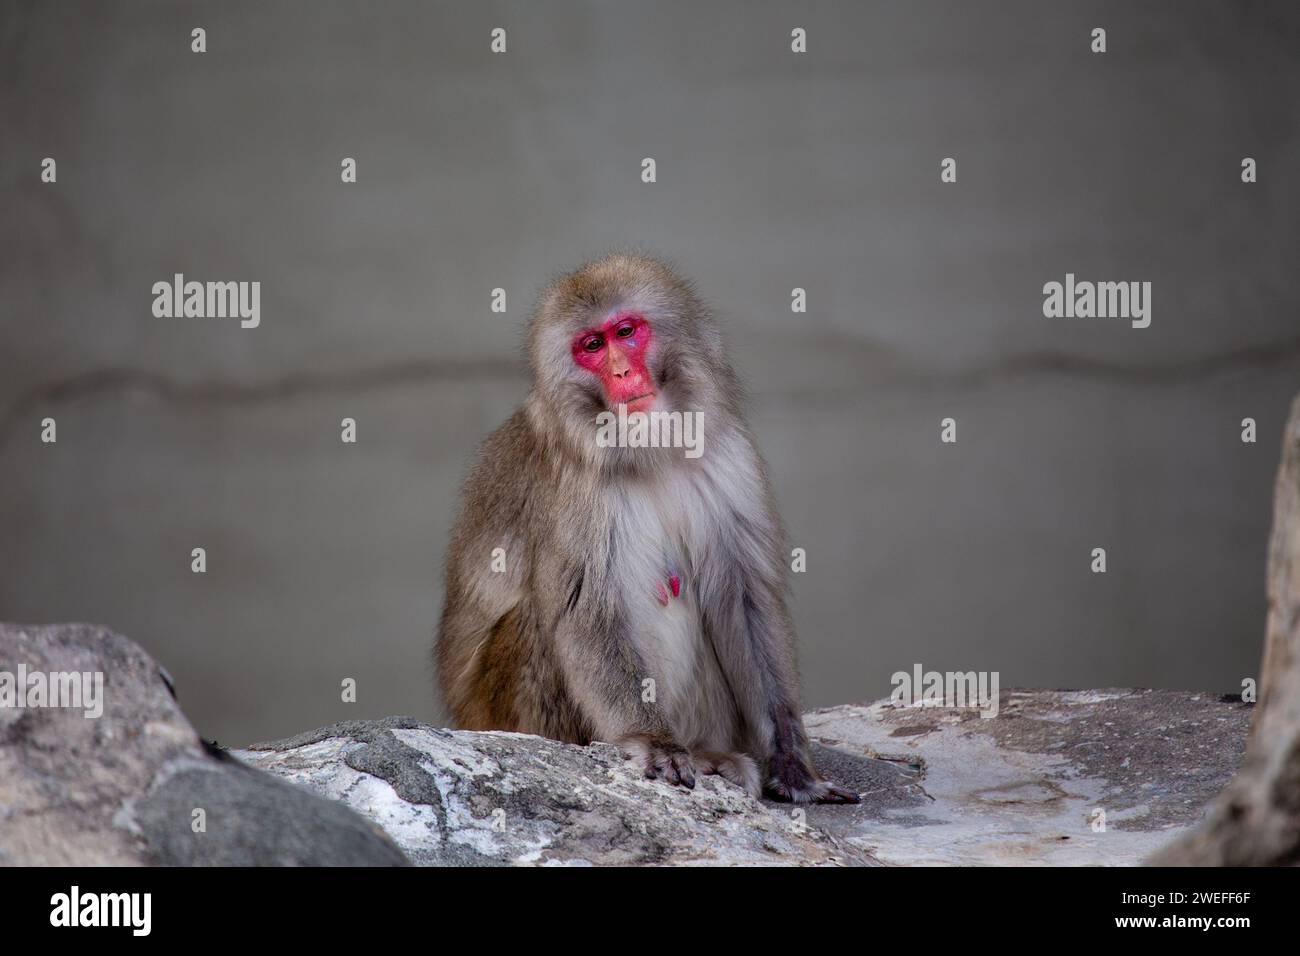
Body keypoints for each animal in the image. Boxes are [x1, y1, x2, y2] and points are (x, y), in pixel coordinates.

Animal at [435, 253, 860, 804]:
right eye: (591, 346)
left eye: (626, 331)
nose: (620, 371)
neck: (650, 451)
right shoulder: (575, 489)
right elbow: (584, 613)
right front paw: (655, 742)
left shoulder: (730, 456)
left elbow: (745, 599)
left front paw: (793, 765)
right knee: (536, 619)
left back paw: (709, 752)